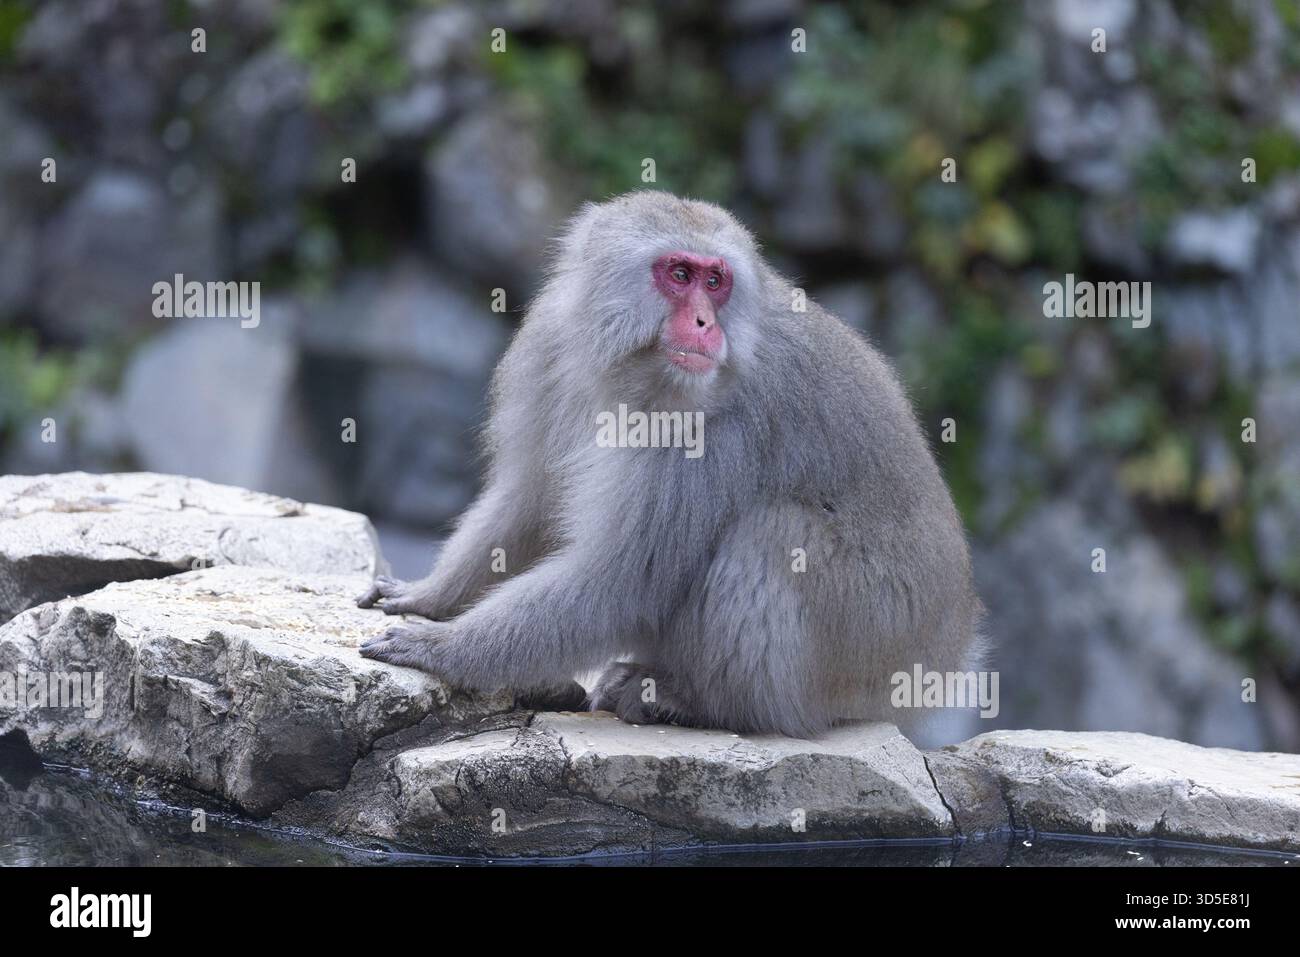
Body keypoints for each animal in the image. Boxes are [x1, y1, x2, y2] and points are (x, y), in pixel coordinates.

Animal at [357, 190, 982, 738]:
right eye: (680, 274)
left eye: (715, 281)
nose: (706, 324)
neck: (628, 366)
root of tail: (950, 644)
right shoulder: (550, 344)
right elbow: (529, 501)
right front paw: (429, 596)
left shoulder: (716, 424)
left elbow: (624, 577)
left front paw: (443, 650)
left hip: (880, 639)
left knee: (775, 531)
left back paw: (714, 706)